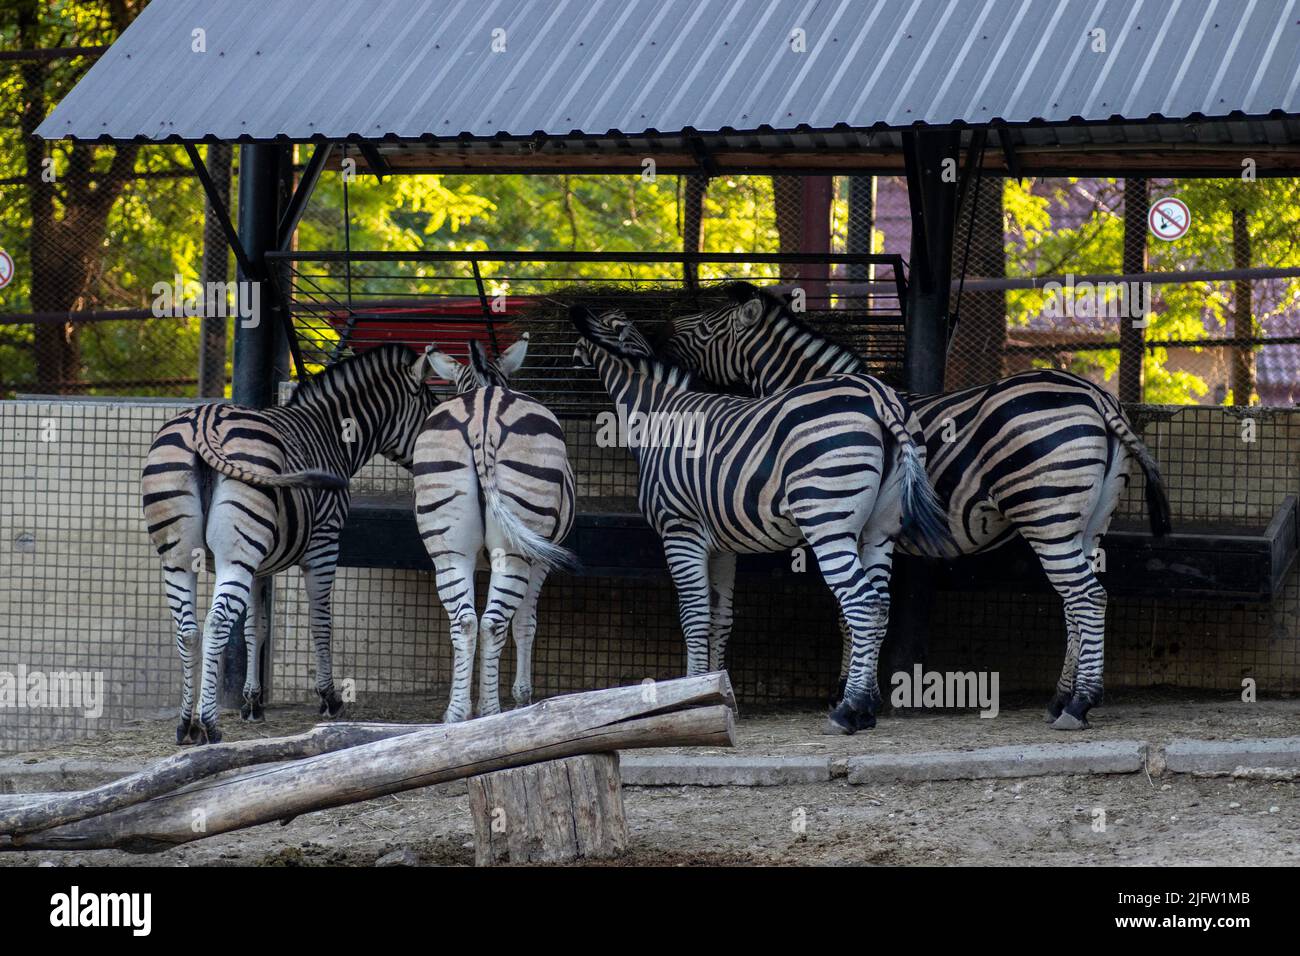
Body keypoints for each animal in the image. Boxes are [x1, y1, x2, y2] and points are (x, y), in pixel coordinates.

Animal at [142, 343, 445, 744]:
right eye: (432, 410)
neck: (331, 432)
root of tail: (204, 419)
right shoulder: (325, 544)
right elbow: (321, 622)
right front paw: (329, 698)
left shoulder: (260, 566)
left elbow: (256, 628)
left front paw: (252, 703)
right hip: (236, 555)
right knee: (217, 622)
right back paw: (209, 724)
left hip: (180, 555)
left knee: (188, 630)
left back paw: (185, 724)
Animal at [412, 335, 577, 723]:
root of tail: (483, 411)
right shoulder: (540, 560)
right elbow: (526, 623)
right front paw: (523, 695)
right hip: (517, 550)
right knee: (493, 622)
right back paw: (490, 711)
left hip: (448, 549)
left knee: (465, 622)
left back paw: (457, 714)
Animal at [570, 305, 950, 733]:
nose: (568, 358)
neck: (660, 415)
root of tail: (878, 394)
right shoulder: (721, 545)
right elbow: (719, 616)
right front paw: (715, 693)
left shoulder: (680, 530)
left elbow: (693, 614)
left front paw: (689, 695)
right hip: (878, 530)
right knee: (881, 605)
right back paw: (867, 707)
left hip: (827, 521)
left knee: (862, 603)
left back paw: (848, 710)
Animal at [664, 282, 1173, 729]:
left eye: (705, 327)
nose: (662, 329)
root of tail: (1098, 396)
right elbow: (871, 608)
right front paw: (861, 693)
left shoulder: (839, 522)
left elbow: (850, 614)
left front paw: (846, 692)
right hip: (1087, 523)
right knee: (1078, 602)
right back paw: (1062, 698)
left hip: (1047, 515)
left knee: (1085, 598)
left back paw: (1079, 704)